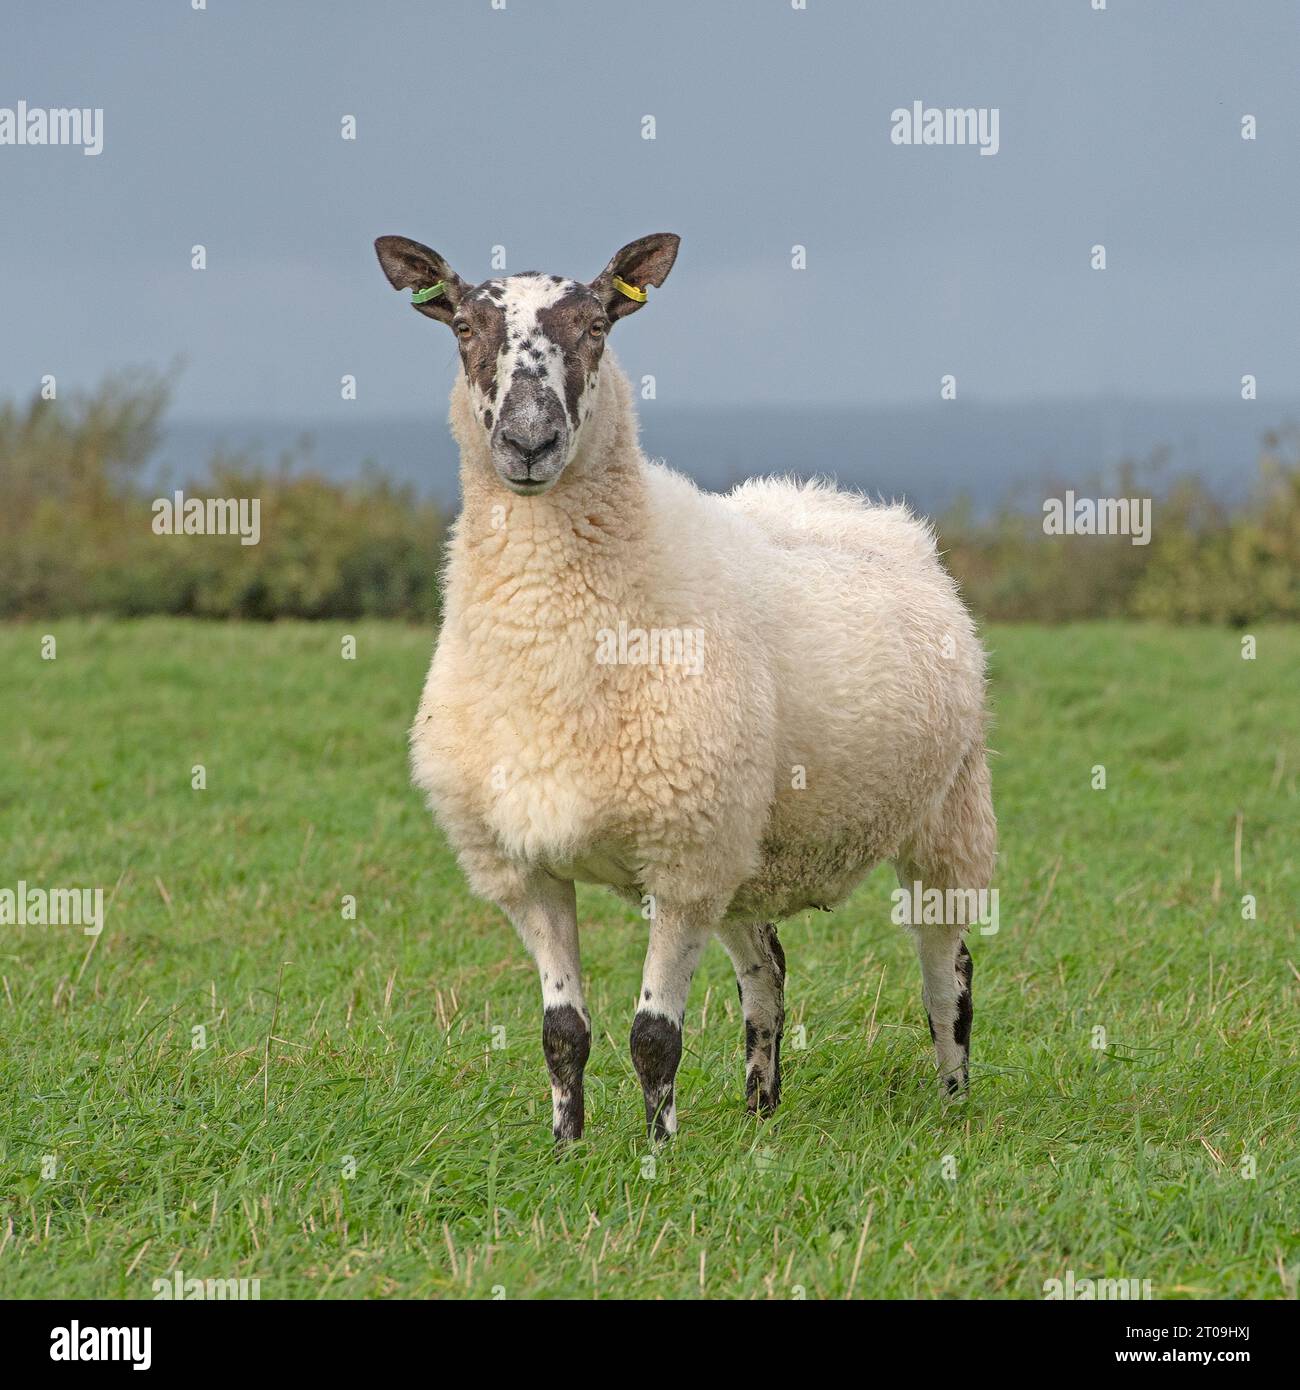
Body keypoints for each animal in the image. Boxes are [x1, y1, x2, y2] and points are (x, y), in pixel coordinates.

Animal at [374, 231, 996, 1142]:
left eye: (598, 325)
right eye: (461, 325)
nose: (529, 441)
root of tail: (858, 507)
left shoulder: (682, 858)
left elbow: (653, 1036)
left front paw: (657, 1153)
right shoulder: (527, 865)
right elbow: (562, 1032)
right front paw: (567, 1148)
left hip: (949, 809)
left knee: (946, 972)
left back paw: (953, 1102)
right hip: (746, 844)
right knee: (767, 969)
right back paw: (761, 1109)